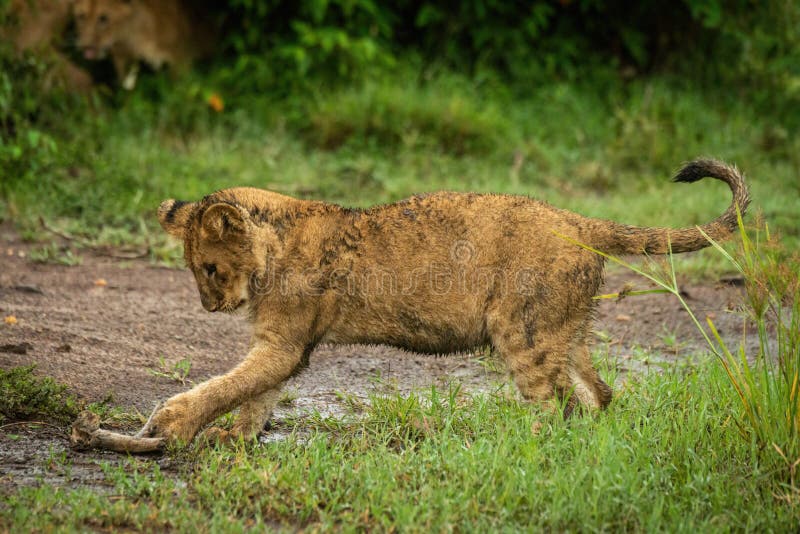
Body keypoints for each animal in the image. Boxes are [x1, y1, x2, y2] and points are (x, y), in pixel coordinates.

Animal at [72, 159, 749, 451]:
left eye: (210, 269)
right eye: (193, 272)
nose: (210, 308)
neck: (274, 246)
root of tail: (579, 220)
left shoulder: (285, 343)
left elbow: (225, 387)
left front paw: (171, 423)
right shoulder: (281, 347)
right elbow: (252, 396)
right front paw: (235, 440)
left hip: (522, 330)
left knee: (553, 406)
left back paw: (522, 447)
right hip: (562, 330)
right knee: (597, 395)